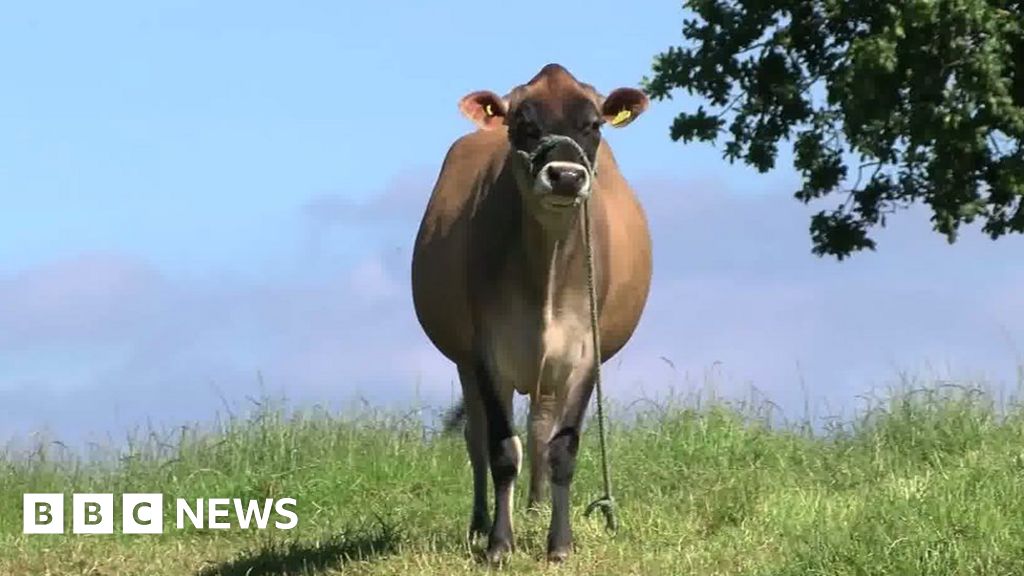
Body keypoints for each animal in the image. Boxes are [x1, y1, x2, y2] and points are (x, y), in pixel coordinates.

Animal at [411, 63, 652, 563]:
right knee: (477, 437)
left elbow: (562, 447)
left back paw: (538, 507)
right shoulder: (485, 351)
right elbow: (503, 450)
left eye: (593, 124)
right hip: (464, 359)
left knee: (540, 427)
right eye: (524, 124)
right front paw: (499, 544)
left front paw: (559, 544)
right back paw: (479, 523)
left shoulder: (586, 353)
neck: (547, 269)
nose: (565, 176)